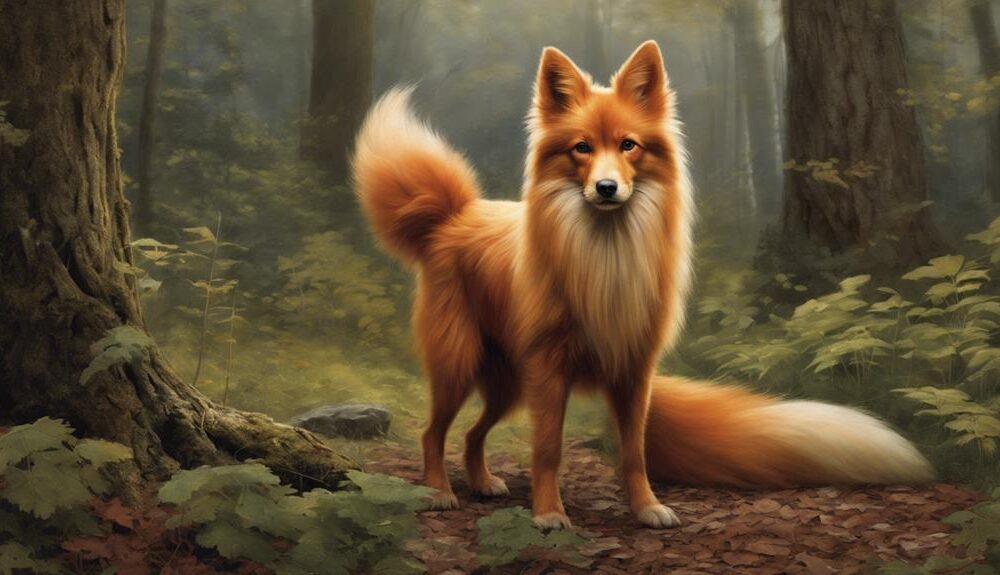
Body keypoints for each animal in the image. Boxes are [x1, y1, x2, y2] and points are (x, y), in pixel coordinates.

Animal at [352, 40, 934, 530]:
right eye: (582, 149)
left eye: (629, 146)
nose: (607, 188)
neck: (607, 258)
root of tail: (452, 216)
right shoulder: (551, 369)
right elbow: (547, 449)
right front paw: (549, 514)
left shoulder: (633, 370)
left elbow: (634, 452)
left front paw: (646, 508)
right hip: (463, 366)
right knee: (432, 432)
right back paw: (439, 492)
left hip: (508, 381)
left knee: (472, 433)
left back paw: (482, 482)